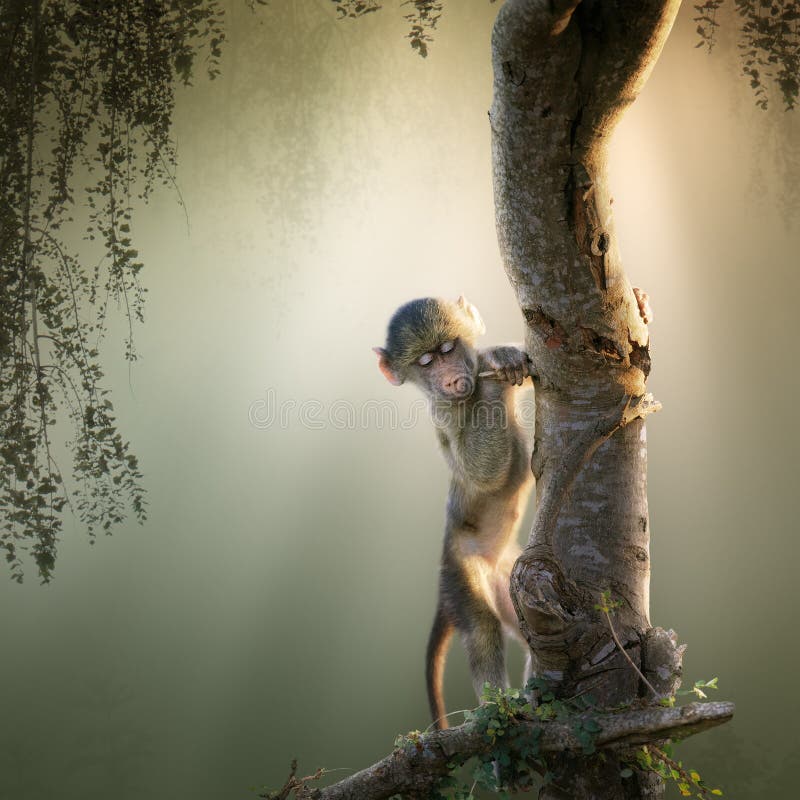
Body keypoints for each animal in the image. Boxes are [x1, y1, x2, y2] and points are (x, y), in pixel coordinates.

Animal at [374, 296, 534, 730]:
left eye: (447, 349)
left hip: (508, 575)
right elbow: (482, 471)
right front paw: (495, 368)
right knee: (481, 627)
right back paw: (502, 709)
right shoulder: (445, 412)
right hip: (461, 570)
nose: (451, 379)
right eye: (426, 361)